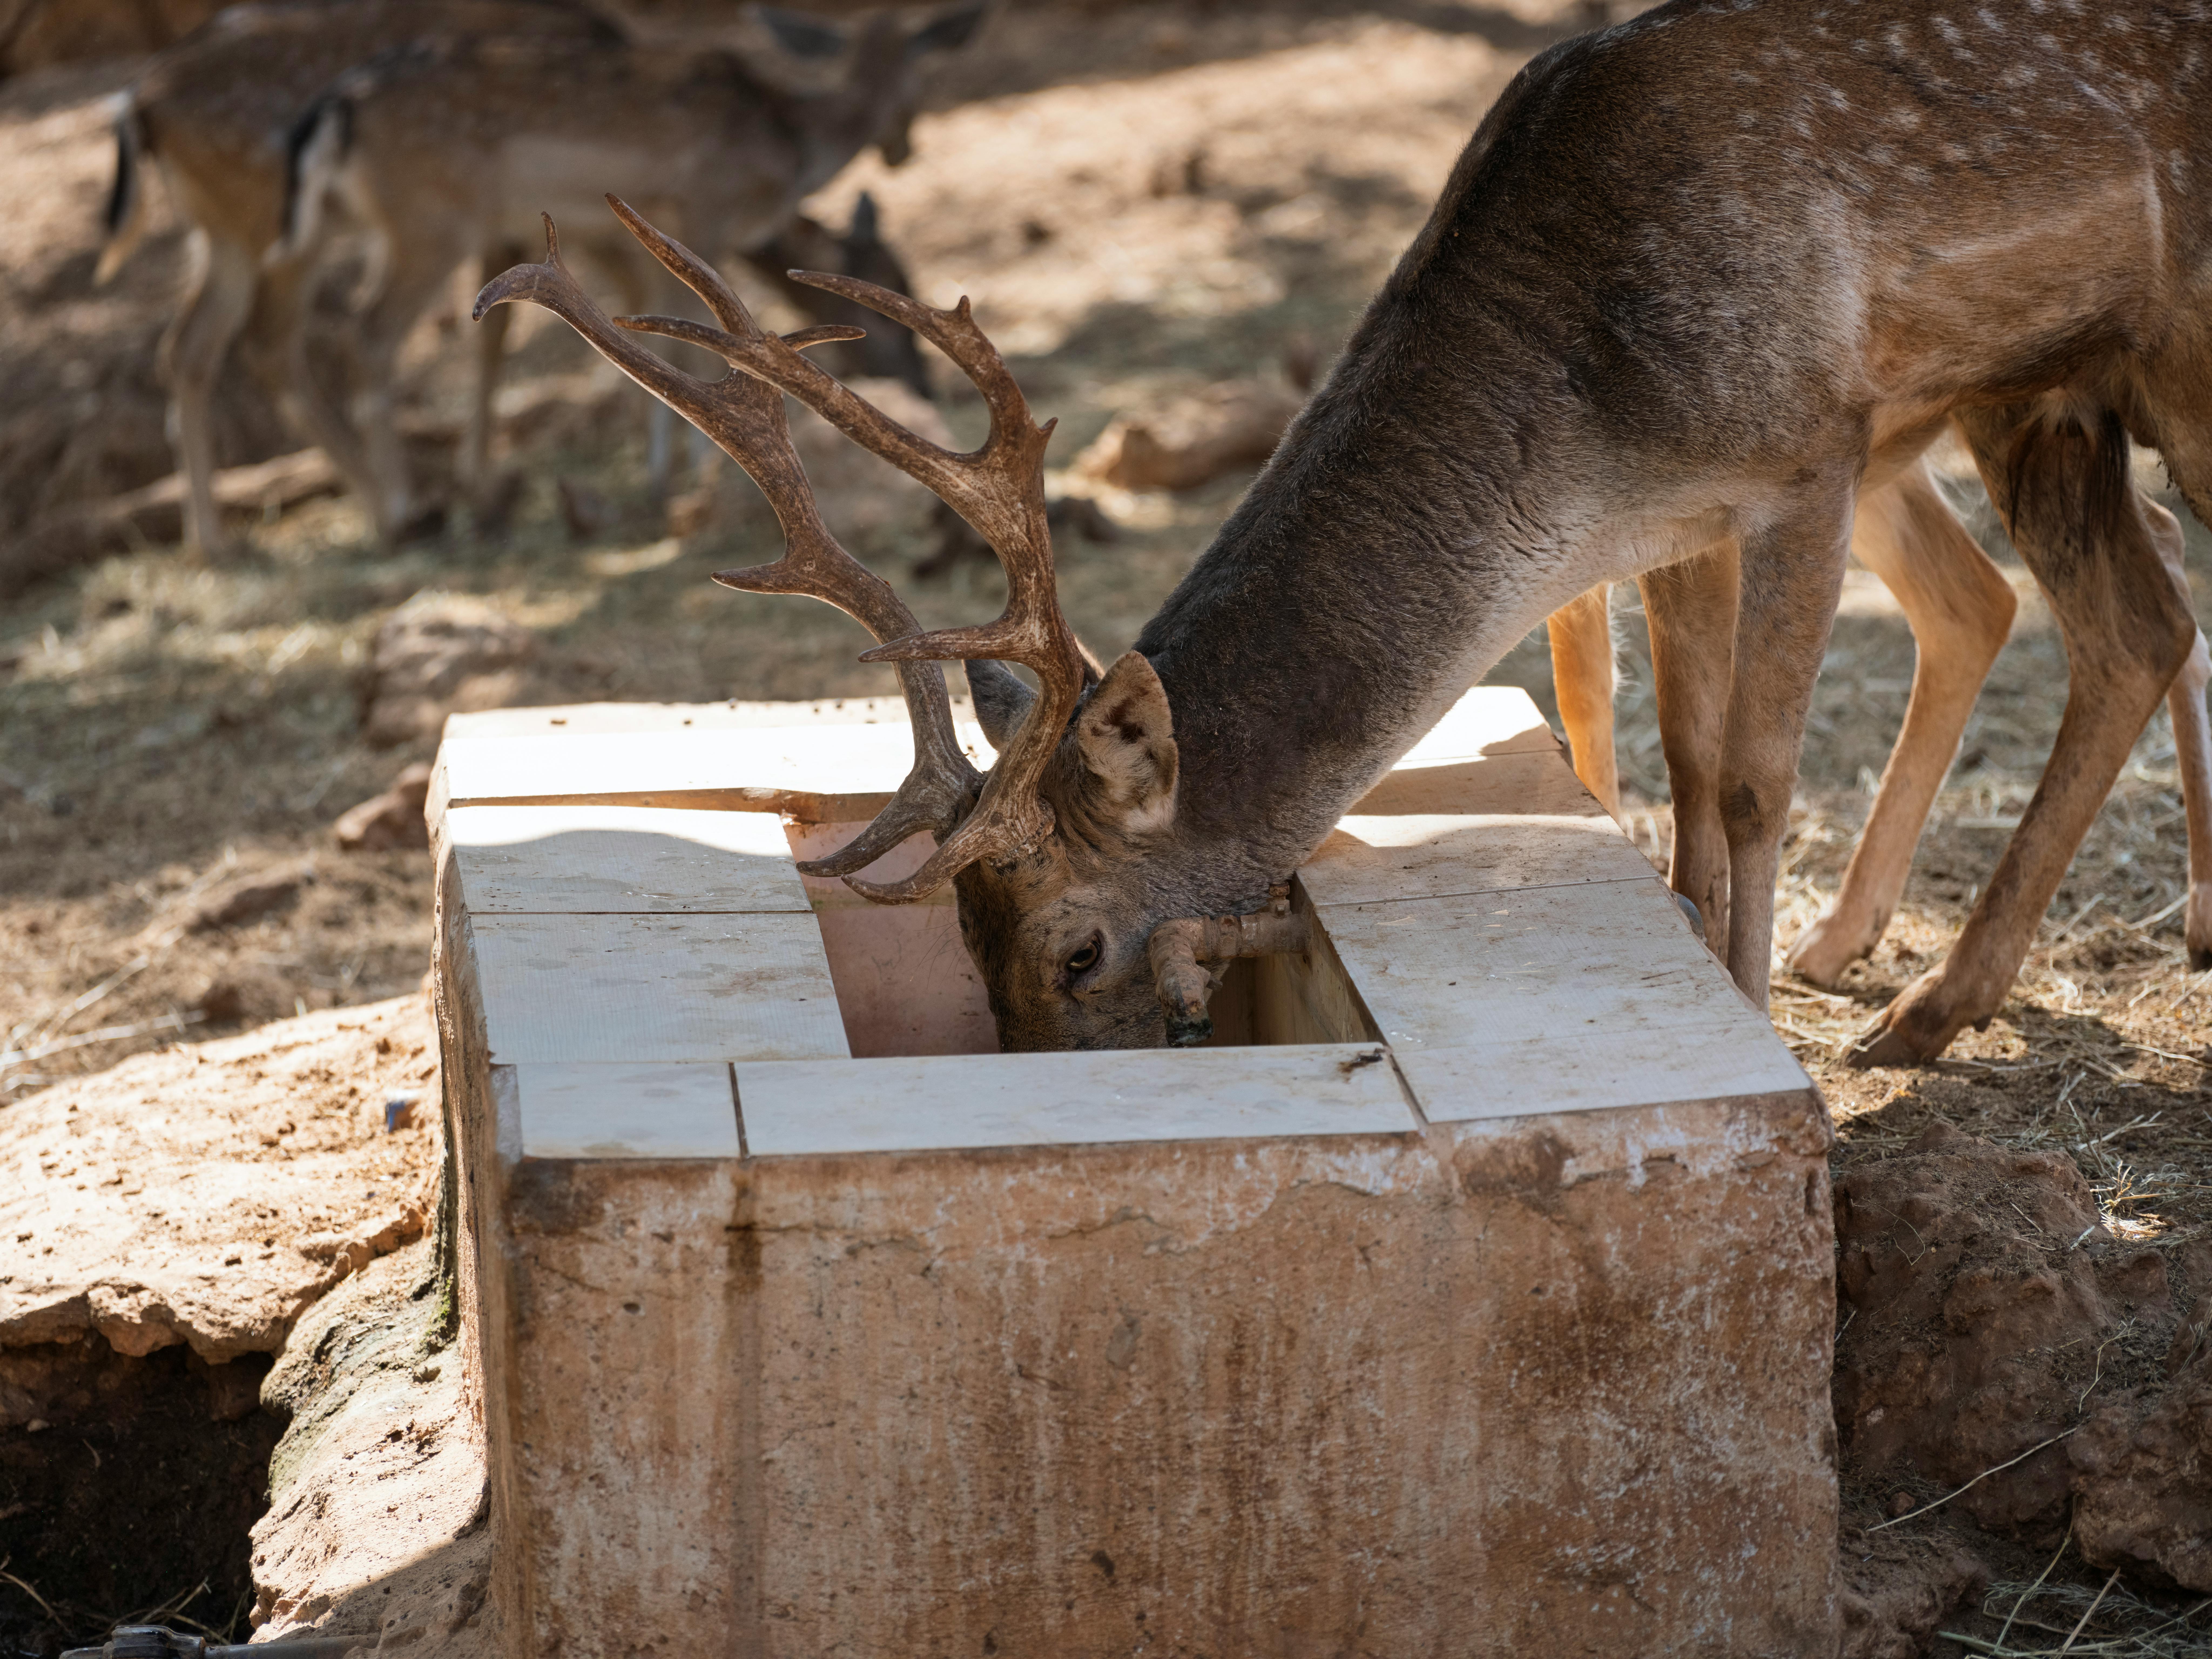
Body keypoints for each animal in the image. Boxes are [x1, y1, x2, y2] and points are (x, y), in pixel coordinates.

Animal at [93, 0, 630, 557]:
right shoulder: (498, 221)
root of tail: (135, 103)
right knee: (277, 341)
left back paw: (213, 542)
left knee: (189, 346)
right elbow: (500, 332)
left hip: (223, 235)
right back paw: (396, 511)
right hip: (279, 225)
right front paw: (484, 488)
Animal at [277, 4, 982, 542]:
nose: (904, 149)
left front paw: (659, 480)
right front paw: (697, 479)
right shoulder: (703, 207)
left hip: (346, 225)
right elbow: (701, 336)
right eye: (889, 294)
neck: (786, 145)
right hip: (431, 223)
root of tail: (336, 109)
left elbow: (645, 331)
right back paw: (401, 510)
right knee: (366, 332)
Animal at [481, 0, 2211, 1060]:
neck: (1595, 435)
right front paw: (1728, 984)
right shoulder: (1681, 521)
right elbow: (1679, 768)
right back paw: (1949, 991)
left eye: (1076, 951)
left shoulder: (1810, 449)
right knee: (2127, 621)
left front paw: (1752, 1036)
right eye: (970, 951)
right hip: (2052, 398)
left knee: (2121, 612)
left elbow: (1746, 779)